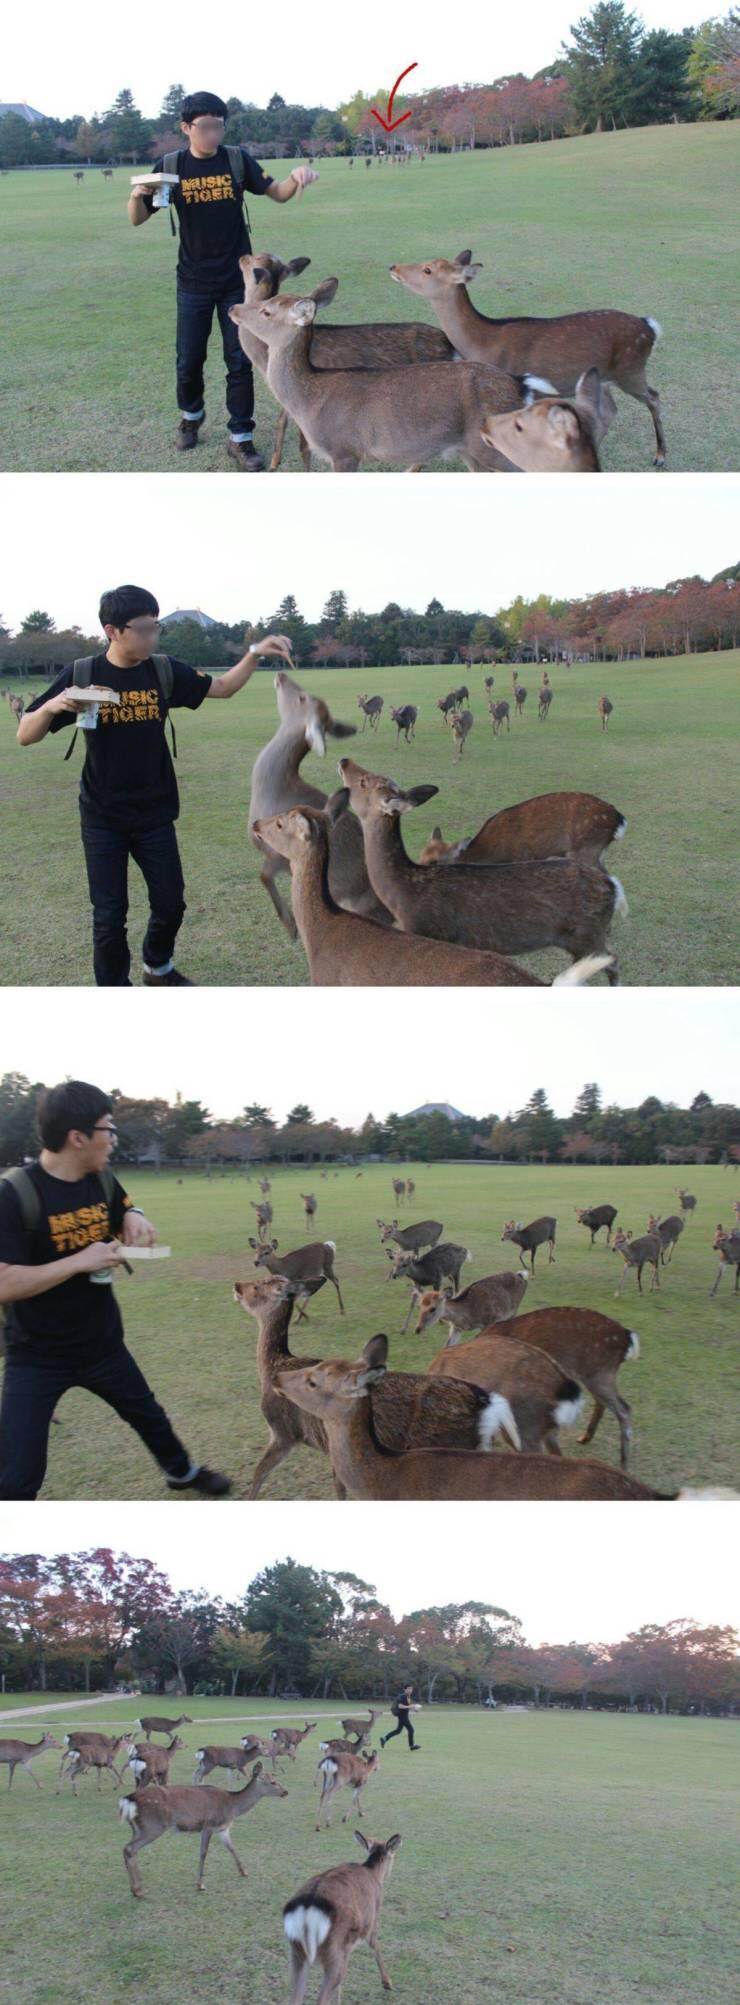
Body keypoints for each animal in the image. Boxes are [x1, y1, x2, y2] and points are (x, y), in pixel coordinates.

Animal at [119, 1761, 288, 1897]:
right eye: (273, 1781)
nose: (285, 1792)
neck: (232, 1807)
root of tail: (129, 1800)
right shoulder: (208, 1825)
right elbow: (203, 1853)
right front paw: (200, 1885)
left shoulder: (223, 1829)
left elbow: (232, 1848)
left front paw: (244, 1872)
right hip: (153, 1826)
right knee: (130, 1848)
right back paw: (138, 1890)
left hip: (137, 1827)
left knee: (128, 1849)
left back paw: (136, 1887)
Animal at [228, 276, 550, 472]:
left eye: (267, 311)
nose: (233, 308)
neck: (309, 402)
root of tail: (520, 386)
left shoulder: (344, 449)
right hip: (472, 452)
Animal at [249, 668, 391, 940]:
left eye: (303, 698)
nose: (281, 674)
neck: (269, 793)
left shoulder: (278, 853)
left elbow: (263, 875)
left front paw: (290, 925)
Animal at [283, 1830, 402, 2005]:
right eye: (393, 1855)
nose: (390, 1872)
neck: (373, 1873)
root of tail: (308, 1907)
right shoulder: (372, 1921)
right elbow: (376, 1945)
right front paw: (387, 1983)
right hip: (334, 1953)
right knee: (322, 1998)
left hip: (297, 1953)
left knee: (296, 1998)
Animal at [336, 760, 625, 983]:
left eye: (364, 781)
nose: (344, 761)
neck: (403, 894)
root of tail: (613, 887)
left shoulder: (427, 932)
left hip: (587, 935)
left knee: (613, 962)